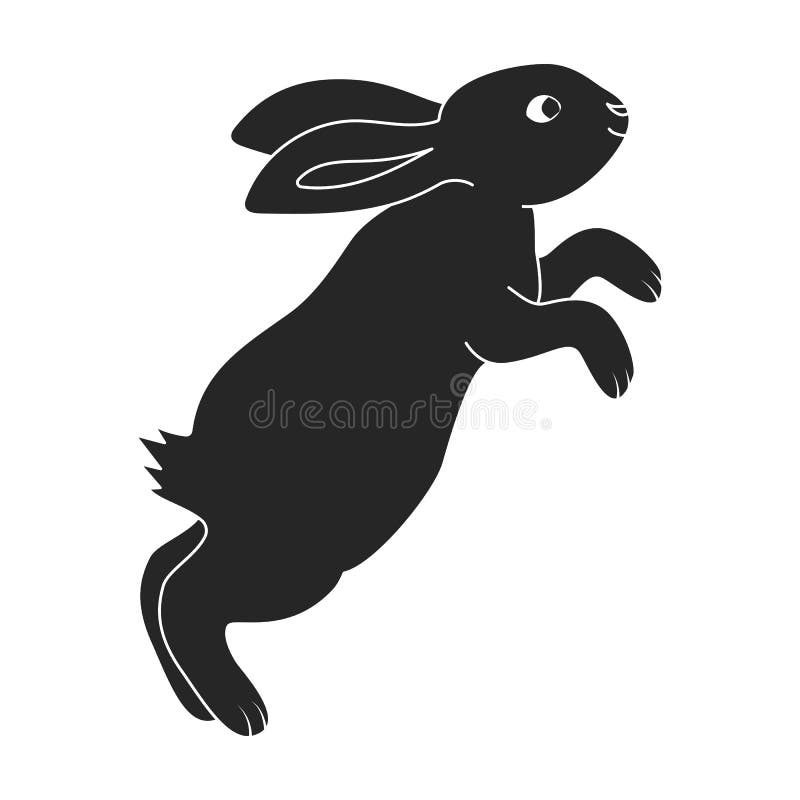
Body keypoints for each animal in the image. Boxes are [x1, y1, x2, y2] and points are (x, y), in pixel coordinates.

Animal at [141, 64, 661, 736]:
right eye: (544, 108)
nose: (621, 111)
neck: (479, 189)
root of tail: (199, 478)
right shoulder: (490, 320)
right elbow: (568, 315)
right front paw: (615, 368)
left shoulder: (530, 286)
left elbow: (575, 257)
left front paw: (644, 276)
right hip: (295, 565)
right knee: (188, 594)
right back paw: (240, 709)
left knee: (161, 566)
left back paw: (196, 707)